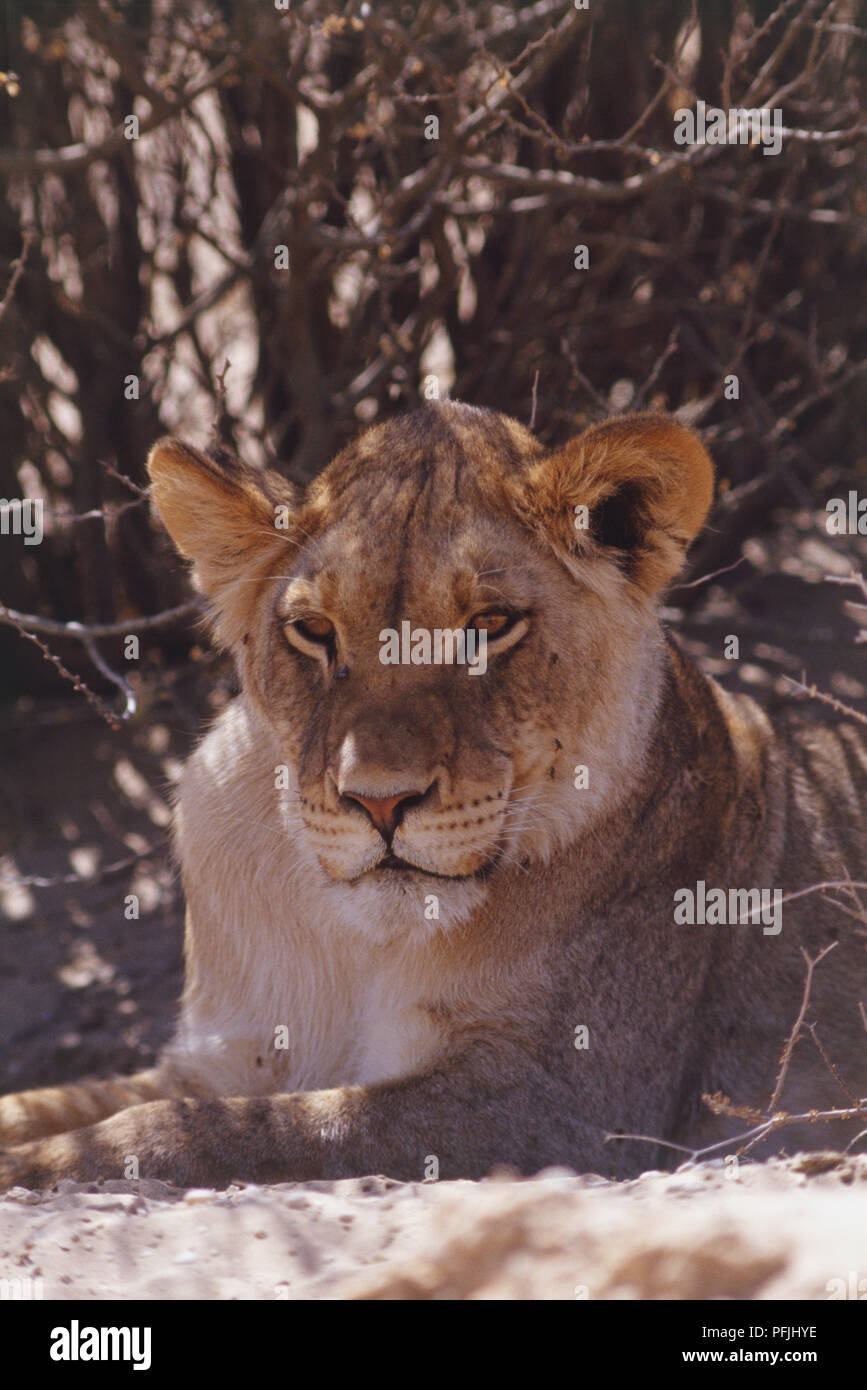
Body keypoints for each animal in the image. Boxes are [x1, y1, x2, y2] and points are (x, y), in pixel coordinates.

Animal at [1, 402, 865, 1189]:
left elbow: (231, 1128)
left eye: (491, 623)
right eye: (314, 631)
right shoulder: (223, 1052)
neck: (357, 944)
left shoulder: (564, 1105)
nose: (379, 803)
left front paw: (36, 1166)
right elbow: (82, 1103)